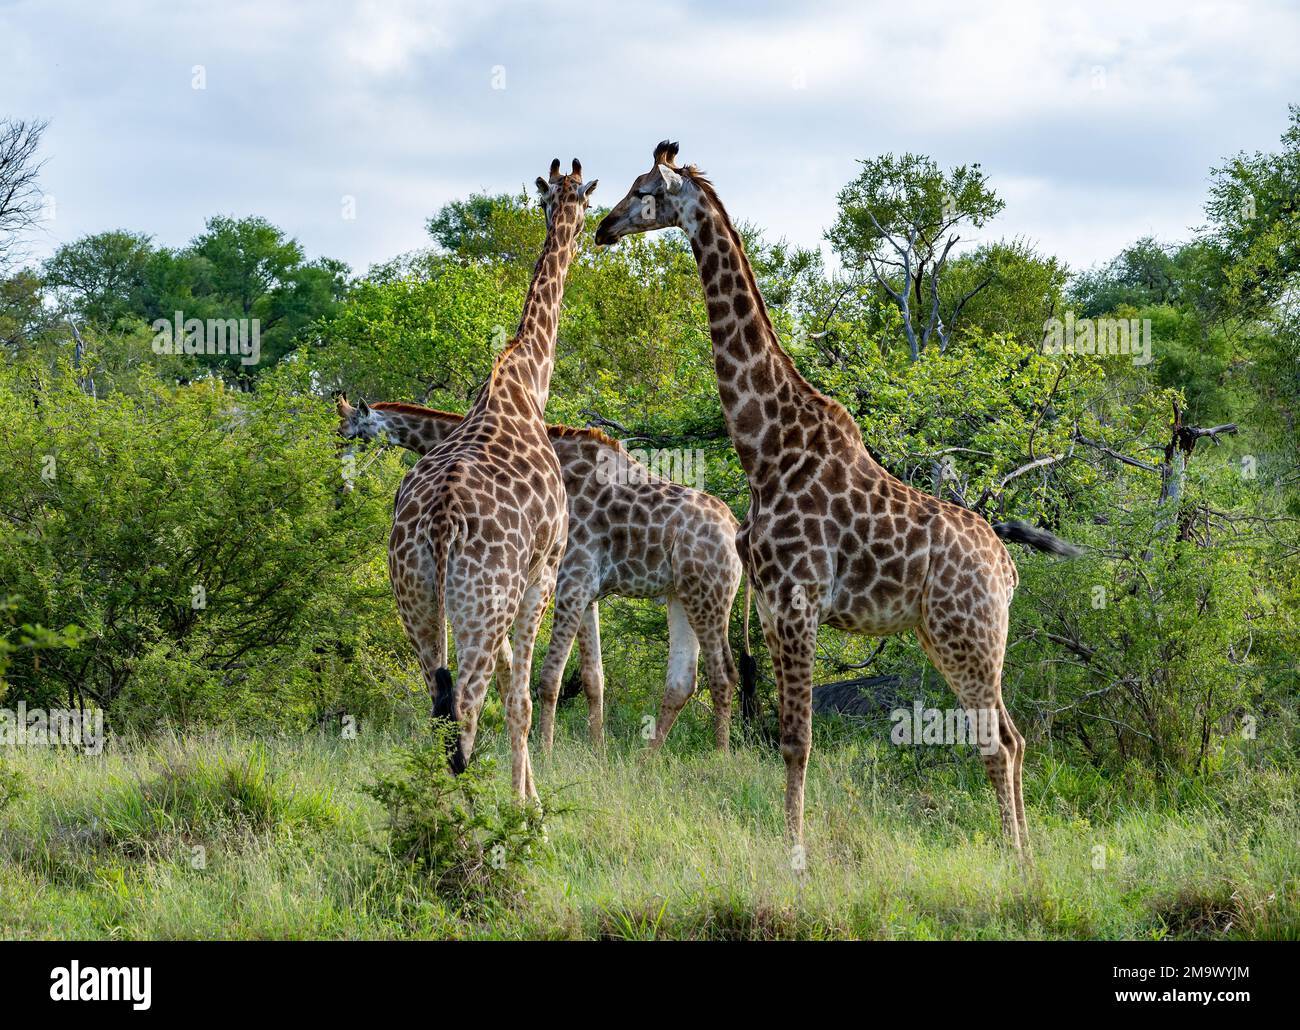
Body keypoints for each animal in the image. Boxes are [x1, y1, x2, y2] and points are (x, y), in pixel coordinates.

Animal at [337, 395, 753, 752]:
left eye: (351, 432)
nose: (343, 484)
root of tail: (735, 528)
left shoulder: (571, 580)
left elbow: (550, 676)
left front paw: (546, 751)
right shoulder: (586, 590)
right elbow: (593, 677)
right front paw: (597, 751)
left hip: (709, 594)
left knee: (723, 674)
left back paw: (720, 756)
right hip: (681, 595)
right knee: (683, 681)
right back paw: (645, 759)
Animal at [388, 157, 596, 799]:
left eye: (570, 199)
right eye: (588, 201)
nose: (581, 228)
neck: (526, 381)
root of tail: (439, 524)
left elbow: (510, 686)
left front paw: (526, 795)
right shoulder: (543, 571)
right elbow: (522, 697)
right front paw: (528, 806)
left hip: (417, 599)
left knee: (439, 706)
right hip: (482, 601)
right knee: (466, 711)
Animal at [595, 141, 1079, 850]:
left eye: (641, 190)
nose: (603, 227)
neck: (764, 446)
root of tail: (1009, 568)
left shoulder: (798, 600)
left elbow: (798, 741)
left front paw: (794, 852)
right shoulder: (770, 605)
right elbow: (783, 735)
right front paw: (788, 841)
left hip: (968, 632)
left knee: (1001, 742)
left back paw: (1016, 857)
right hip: (946, 634)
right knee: (1010, 738)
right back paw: (1020, 854)